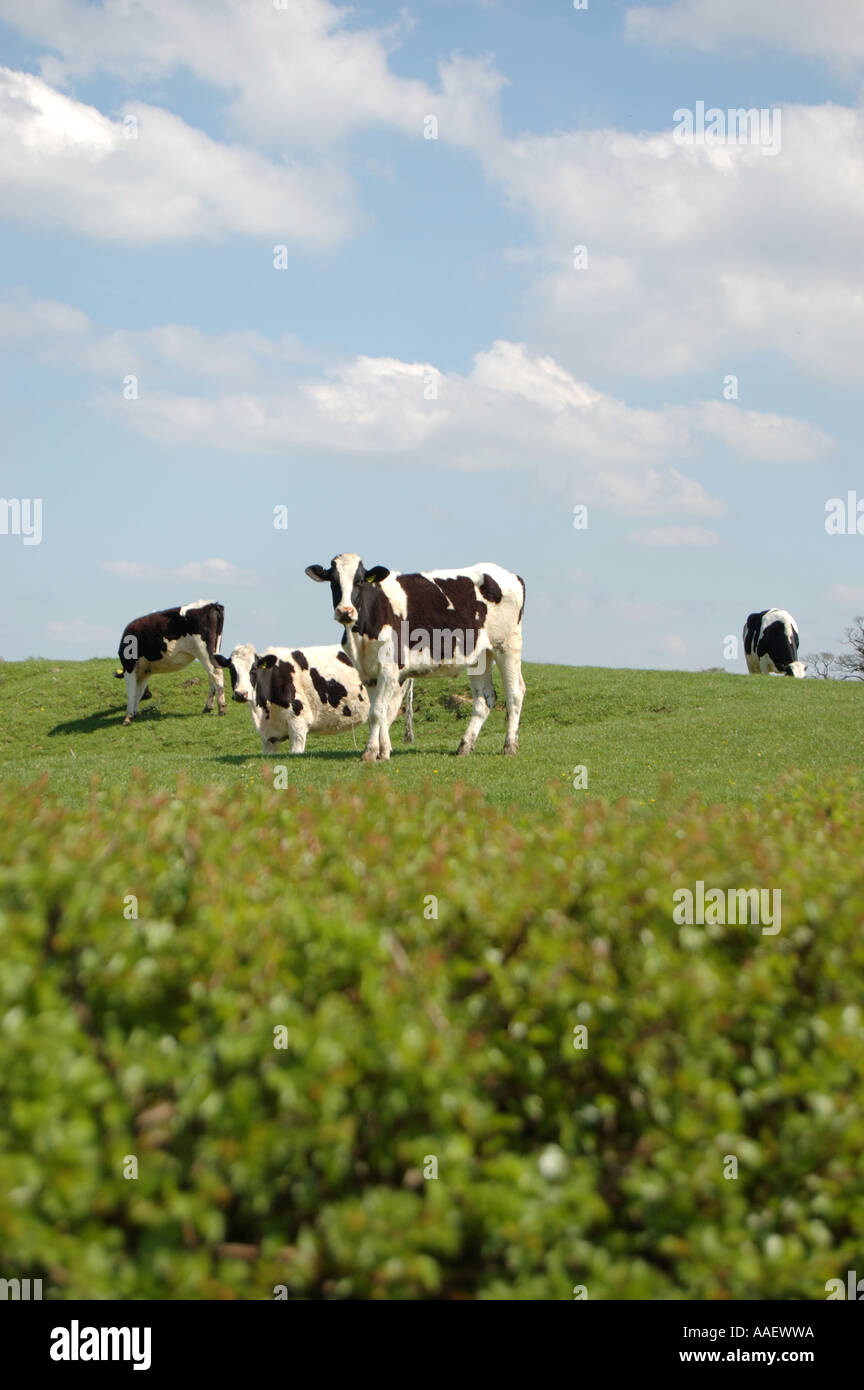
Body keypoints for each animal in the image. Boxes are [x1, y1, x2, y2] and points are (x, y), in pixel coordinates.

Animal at [215, 643, 413, 754]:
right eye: (231, 669)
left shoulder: (298, 725)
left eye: (254, 668)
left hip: (392, 698)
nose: (241, 693)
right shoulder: (268, 738)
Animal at [305, 554, 525, 761]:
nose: (345, 611)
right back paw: (464, 746)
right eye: (333, 581)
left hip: (507, 645)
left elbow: (377, 712)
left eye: (359, 581)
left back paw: (509, 746)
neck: (361, 635)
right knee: (484, 699)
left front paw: (370, 753)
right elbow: (381, 713)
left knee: (515, 693)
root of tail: (511, 575)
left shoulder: (389, 667)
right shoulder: (367, 673)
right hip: (481, 656)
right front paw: (384, 751)